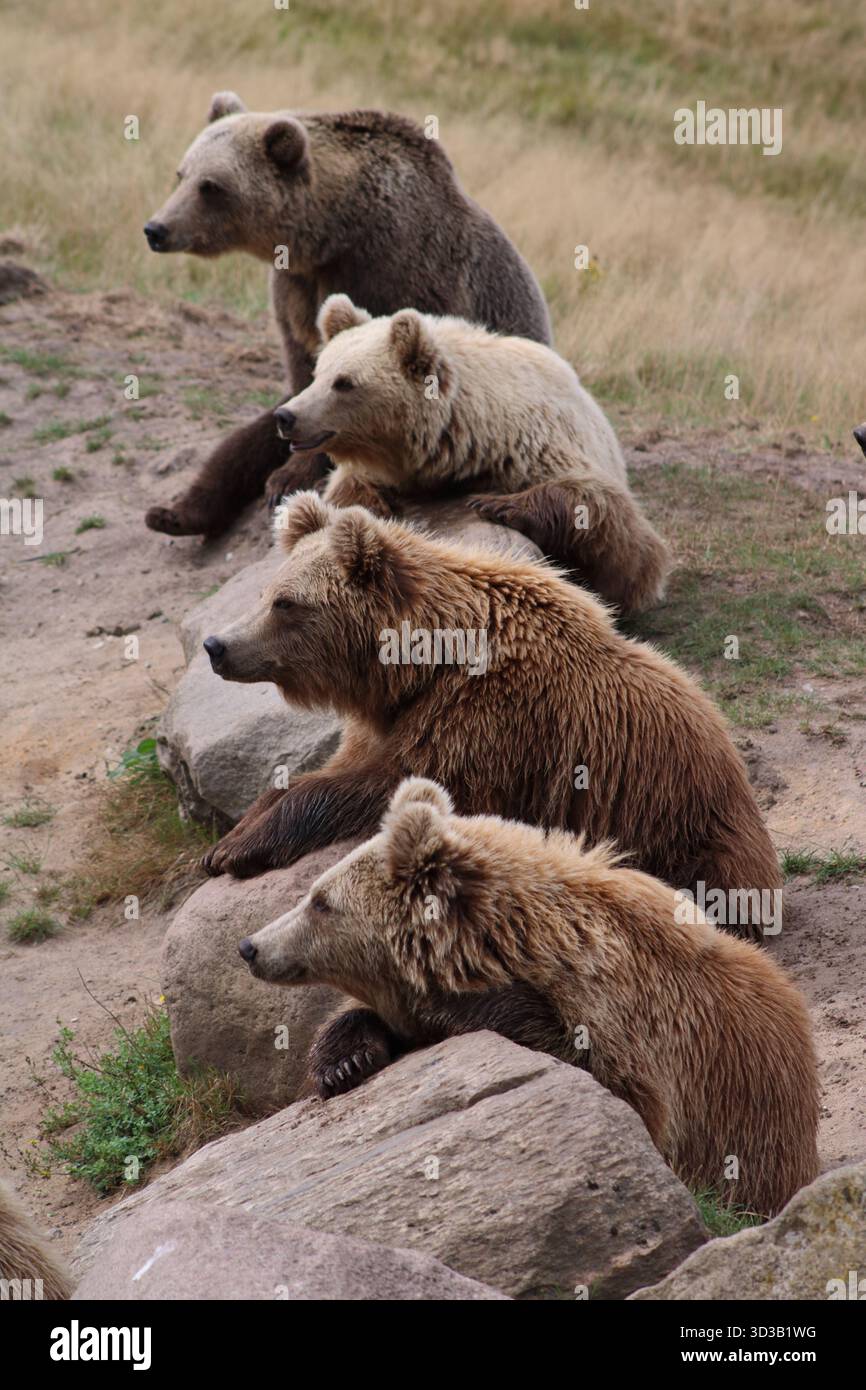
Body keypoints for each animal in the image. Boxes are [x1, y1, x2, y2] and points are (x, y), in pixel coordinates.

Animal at [143, 93, 551, 539]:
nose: (156, 228)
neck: (336, 232)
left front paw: (288, 477)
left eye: (211, 186)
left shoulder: (392, 273)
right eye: (181, 174)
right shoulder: (296, 287)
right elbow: (301, 372)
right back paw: (173, 514)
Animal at [201, 490, 781, 940]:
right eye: (265, 593)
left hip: (683, 826)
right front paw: (232, 836)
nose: (216, 645)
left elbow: (392, 785)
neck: (418, 667)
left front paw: (239, 848)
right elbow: (331, 771)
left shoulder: (490, 717)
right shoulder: (388, 718)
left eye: (287, 603)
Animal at [239, 778, 820, 1219]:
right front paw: (345, 1059)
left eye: (320, 901)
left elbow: (615, 1089)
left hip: (754, 1126)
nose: (250, 947)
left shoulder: (634, 1029)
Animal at [273, 294, 669, 614]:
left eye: (344, 382)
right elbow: (347, 489)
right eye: (317, 373)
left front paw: (498, 504)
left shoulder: (539, 444)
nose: (286, 416)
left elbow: (619, 532)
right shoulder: (383, 467)